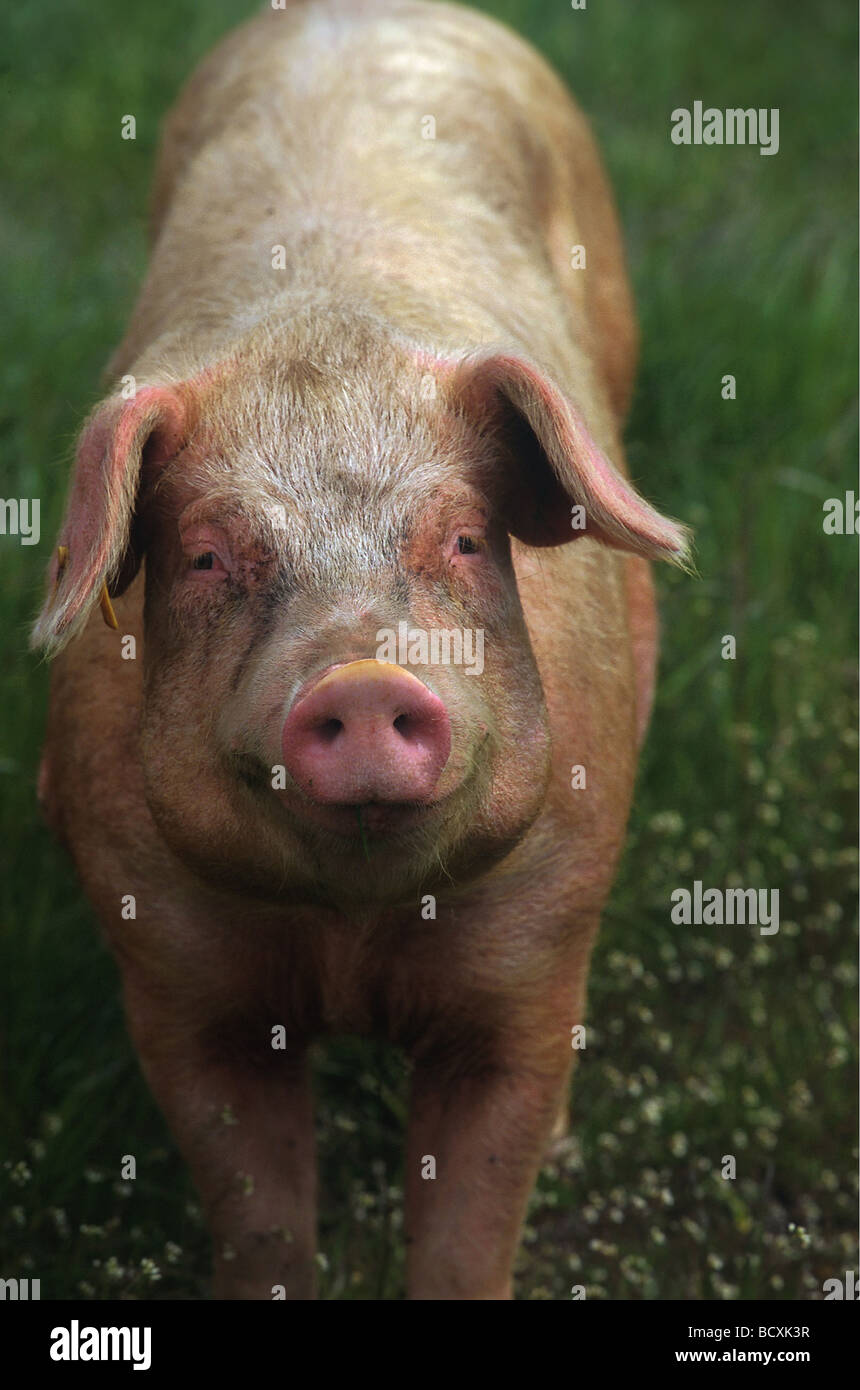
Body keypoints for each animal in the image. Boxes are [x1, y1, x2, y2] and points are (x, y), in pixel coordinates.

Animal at [32, 0, 690, 1300]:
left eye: (465, 539)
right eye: (205, 557)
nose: (365, 675)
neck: (348, 928)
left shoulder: (537, 952)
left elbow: (474, 1220)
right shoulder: (171, 972)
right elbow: (260, 1213)